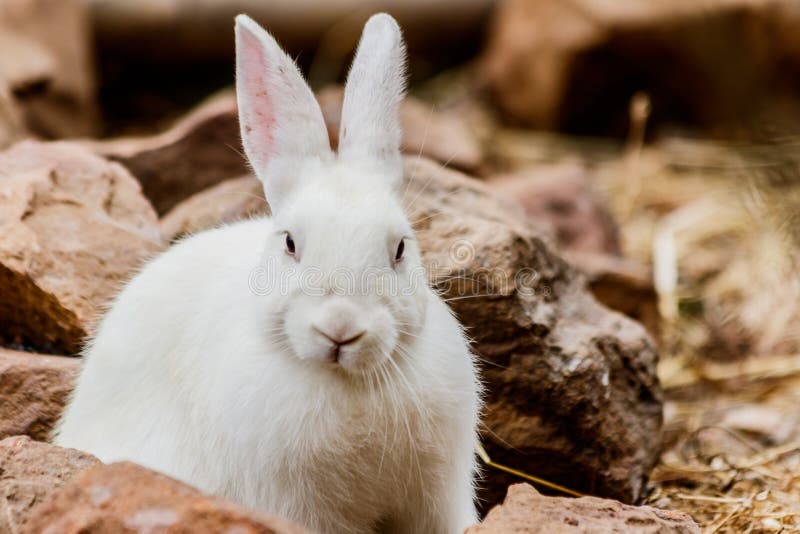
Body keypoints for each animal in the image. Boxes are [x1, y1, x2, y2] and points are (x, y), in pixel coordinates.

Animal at [55, 12, 482, 534]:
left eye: (400, 249)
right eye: (290, 243)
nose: (341, 328)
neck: (344, 381)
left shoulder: (437, 495)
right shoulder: (295, 503)